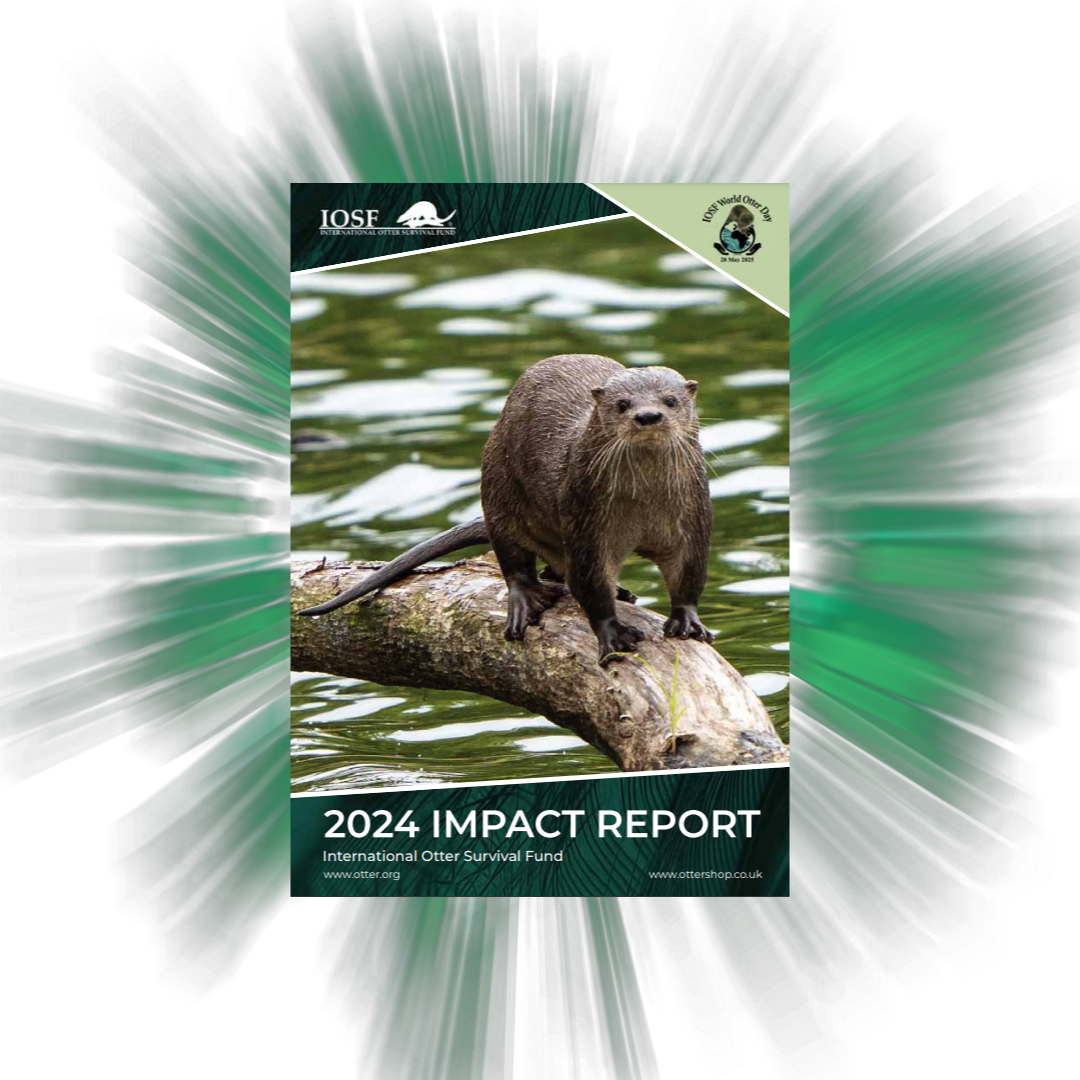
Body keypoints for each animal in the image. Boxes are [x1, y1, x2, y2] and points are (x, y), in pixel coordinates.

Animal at [297, 354, 715, 664]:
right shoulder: (586, 521)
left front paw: (687, 620)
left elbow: (688, 571)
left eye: (671, 400)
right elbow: (590, 583)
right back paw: (527, 597)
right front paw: (613, 633)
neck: (642, 505)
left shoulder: (692, 515)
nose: (648, 416)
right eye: (621, 404)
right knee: (516, 561)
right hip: (497, 493)